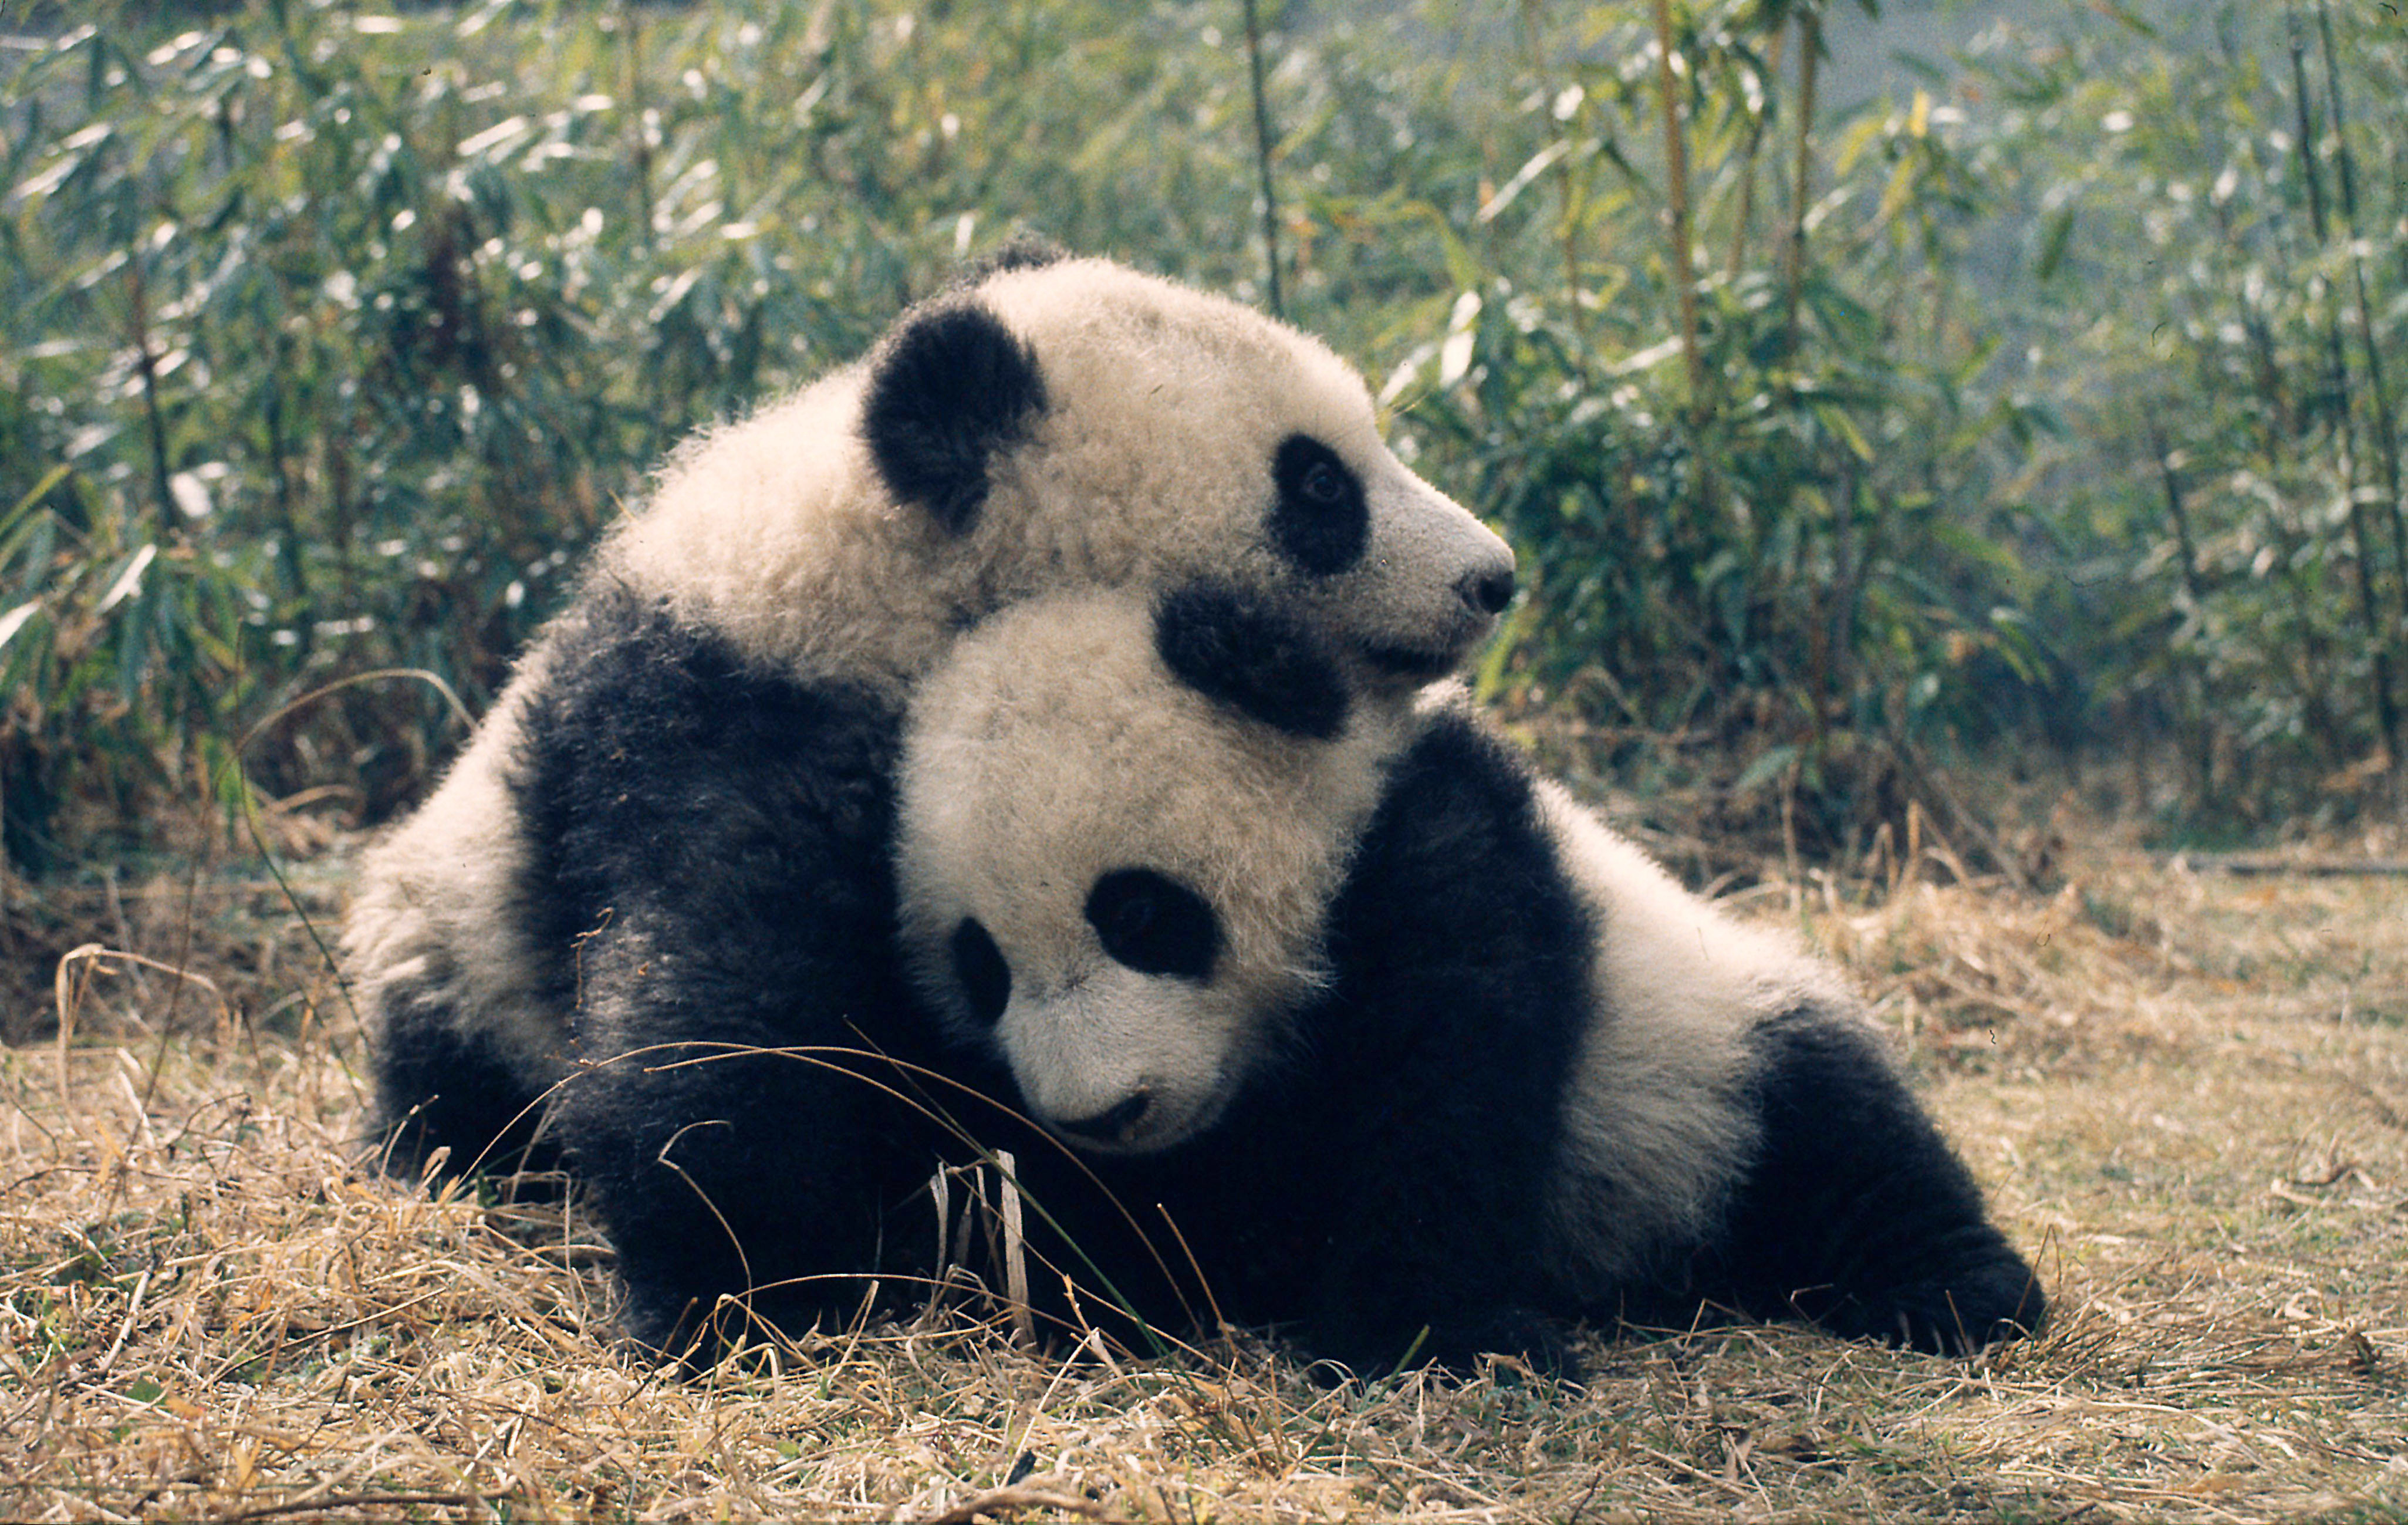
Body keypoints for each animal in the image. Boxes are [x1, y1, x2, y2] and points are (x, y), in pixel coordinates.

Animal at [340, 248, 1517, 1357]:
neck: (877, 572)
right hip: (453, 947)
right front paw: (742, 1287)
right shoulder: (725, 731)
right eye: (1318, 486)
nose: (1494, 578)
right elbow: (708, 1001)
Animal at [893, 583, 2048, 1376]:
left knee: (1835, 1133)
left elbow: (1444, 1101)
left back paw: (1953, 1288)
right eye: (984, 968)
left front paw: (1435, 1341)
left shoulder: (1443, 859)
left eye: (1139, 913)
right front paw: (1102, 1284)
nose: (1105, 1109)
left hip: (1711, 1047)